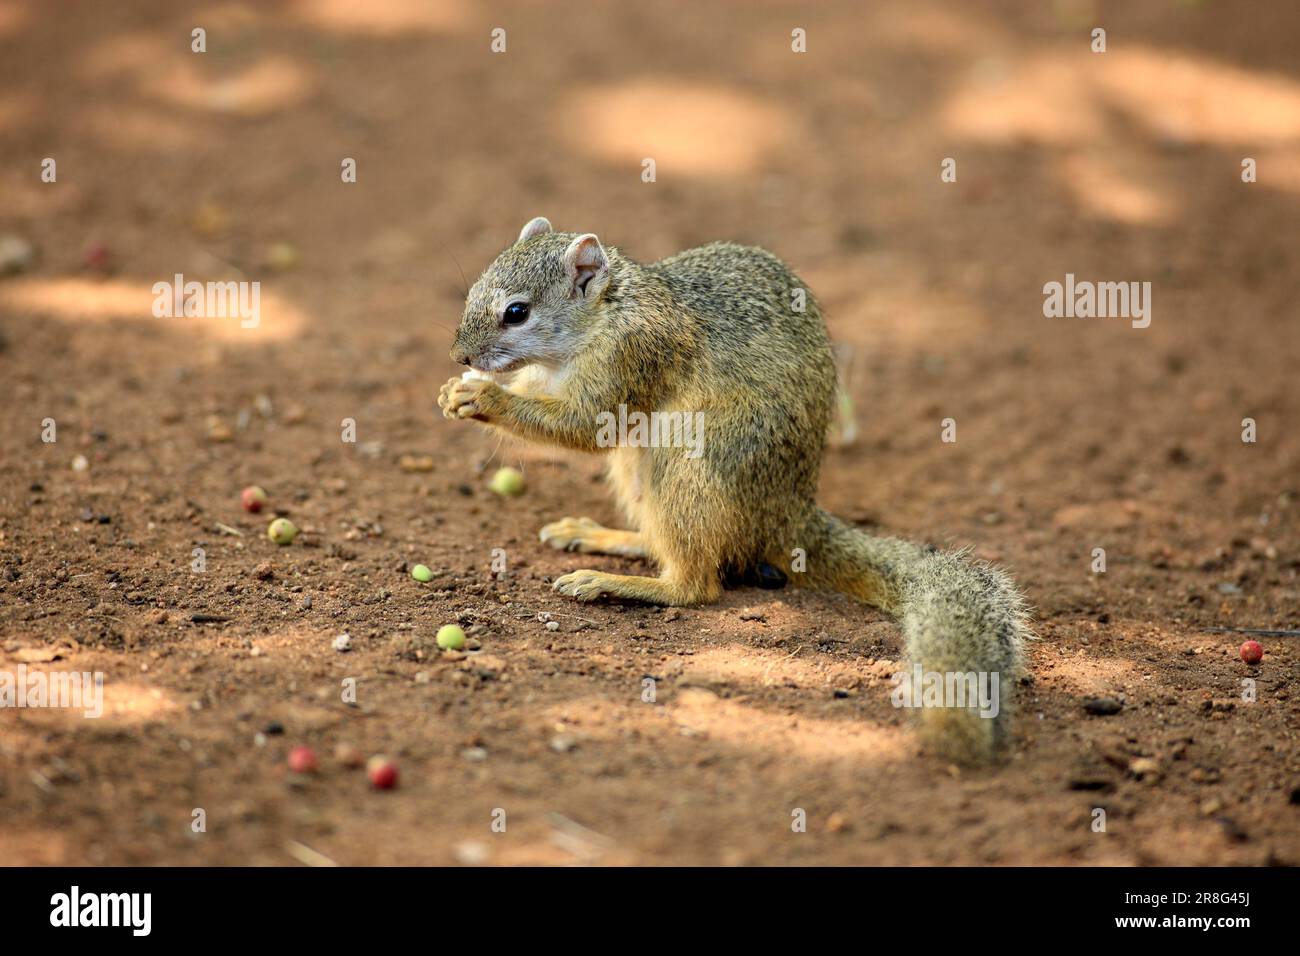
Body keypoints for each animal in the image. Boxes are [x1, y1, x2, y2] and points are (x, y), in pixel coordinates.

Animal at [439, 216, 1030, 763]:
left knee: (698, 584)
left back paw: (617, 583)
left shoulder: (633, 353)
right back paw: (608, 539)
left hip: (688, 462)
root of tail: (788, 516)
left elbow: (584, 426)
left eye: (518, 311)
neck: (606, 311)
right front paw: (458, 391)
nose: (461, 357)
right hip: (637, 470)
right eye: (473, 291)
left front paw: (486, 397)